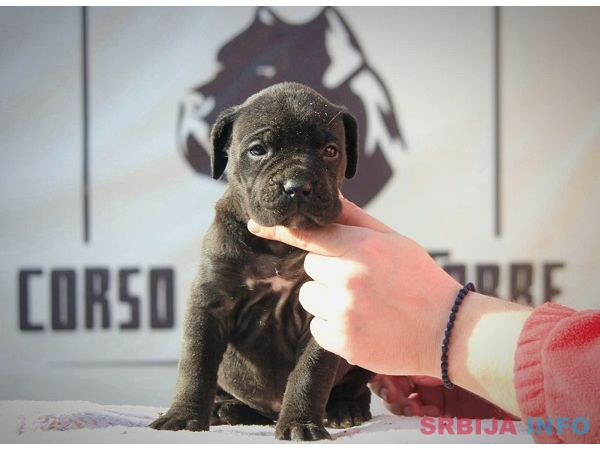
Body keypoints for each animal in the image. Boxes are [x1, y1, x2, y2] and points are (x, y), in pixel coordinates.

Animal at [149, 82, 372, 442]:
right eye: (257, 150)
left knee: (354, 385)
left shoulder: (323, 313)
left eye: (330, 151)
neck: (278, 246)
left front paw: (300, 423)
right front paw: (182, 417)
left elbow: (310, 374)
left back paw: (346, 408)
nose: (298, 186)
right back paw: (225, 409)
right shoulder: (209, 304)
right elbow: (195, 365)